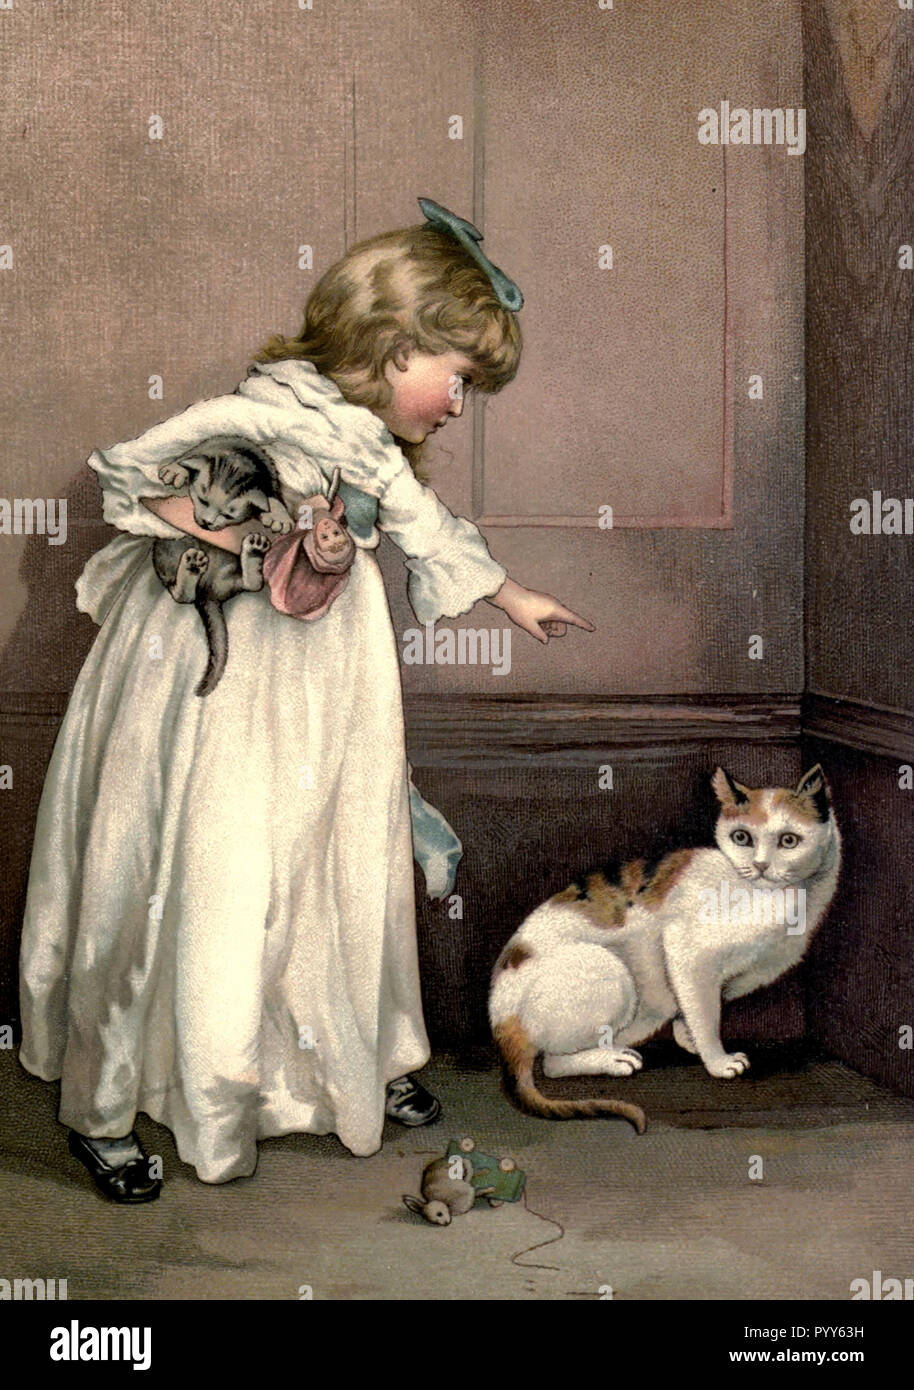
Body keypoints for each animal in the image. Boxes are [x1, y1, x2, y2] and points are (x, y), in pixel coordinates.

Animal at [150, 436, 291, 695]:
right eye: (202, 499)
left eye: (228, 515)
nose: (206, 524)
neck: (239, 455)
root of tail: (207, 590)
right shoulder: (207, 445)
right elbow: (187, 457)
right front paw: (175, 469)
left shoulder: (270, 480)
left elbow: (274, 498)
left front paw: (279, 516)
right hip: (169, 549)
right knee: (180, 594)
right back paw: (192, 567)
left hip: (229, 576)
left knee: (249, 585)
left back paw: (253, 553)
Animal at [488, 767, 838, 1134]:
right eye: (742, 837)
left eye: (789, 841)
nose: (760, 866)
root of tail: (500, 1018)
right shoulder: (687, 951)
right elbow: (706, 1014)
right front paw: (717, 1060)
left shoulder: (737, 974)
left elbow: (694, 1009)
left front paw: (689, 1038)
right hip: (608, 972)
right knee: (552, 1063)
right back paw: (613, 1059)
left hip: (647, 1006)